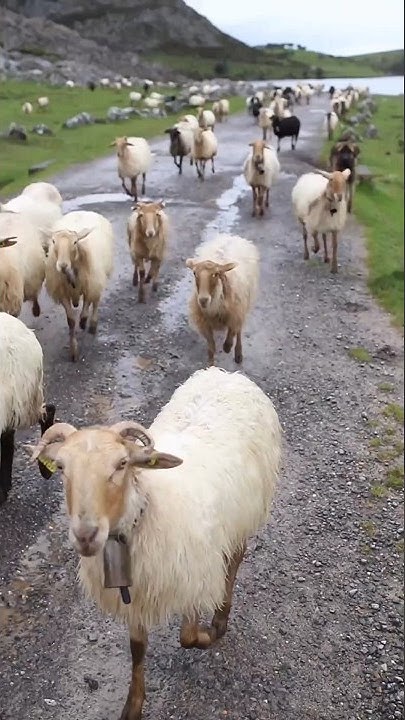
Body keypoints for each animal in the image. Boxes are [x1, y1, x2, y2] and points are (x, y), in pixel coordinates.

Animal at [29, 365, 281, 719]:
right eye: (62, 468)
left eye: (122, 464)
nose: (85, 535)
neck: (145, 509)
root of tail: (228, 375)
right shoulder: (135, 593)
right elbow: (137, 649)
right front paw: (133, 705)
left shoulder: (193, 574)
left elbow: (188, 636)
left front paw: (207, 635)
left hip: (244, 512)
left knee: (234, 560)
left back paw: (220, 617)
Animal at [45, 210, 114, 361]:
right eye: (53, 241)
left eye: (75, 242)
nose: (62, 265)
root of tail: (83, 211)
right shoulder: (63, 294)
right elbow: (71, 321)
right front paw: (73, 351)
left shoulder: (90, 285)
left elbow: (86, 307)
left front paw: (83, 321)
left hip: (98, 278)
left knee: (96, 301)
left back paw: (92, 324)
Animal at [186, 233, 259, 365]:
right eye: (194, 273)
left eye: (215, 274)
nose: (203, 299)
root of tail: (232, 237)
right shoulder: (204, 325)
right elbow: (211, 348)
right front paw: (210, 366)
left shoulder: (235, 315)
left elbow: (230, 337)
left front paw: (228, 348)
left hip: (244, 303)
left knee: (239, 331)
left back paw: (238, 354)